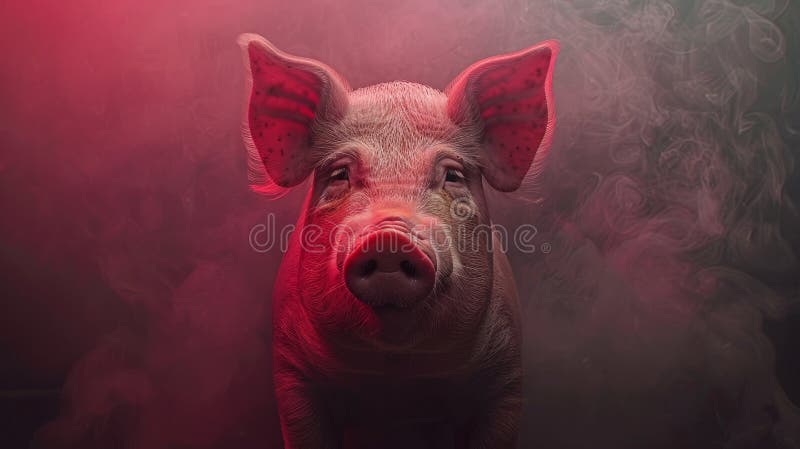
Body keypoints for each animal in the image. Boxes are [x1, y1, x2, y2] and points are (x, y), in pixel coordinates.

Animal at [237, 33, 558, 449]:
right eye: (340, 174)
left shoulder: (506, 378)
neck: (397, 378)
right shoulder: (291, 372)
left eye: (452, 176)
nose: (389, 236)